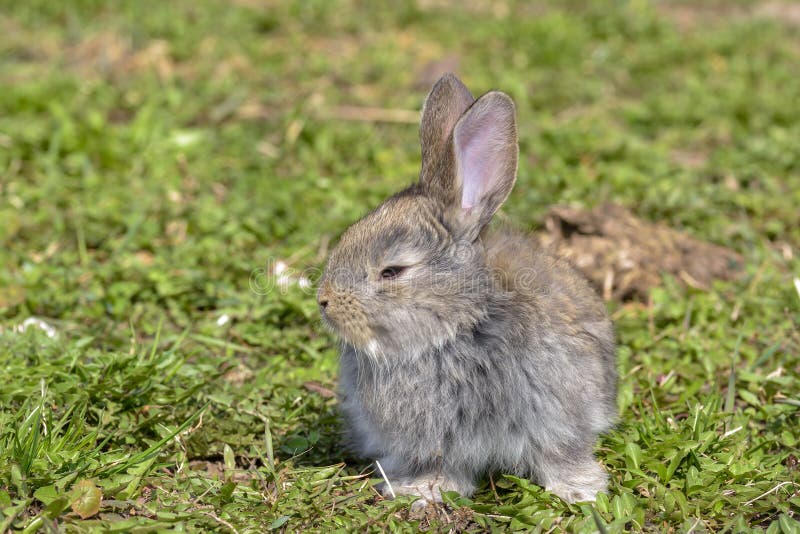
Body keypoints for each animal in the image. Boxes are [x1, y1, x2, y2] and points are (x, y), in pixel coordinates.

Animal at [317, 74, 617, 506]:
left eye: (392, 271)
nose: (323, 301)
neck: (455, 327)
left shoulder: (558, 413)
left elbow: (559, 454)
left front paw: (581, 490)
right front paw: (423, 491)